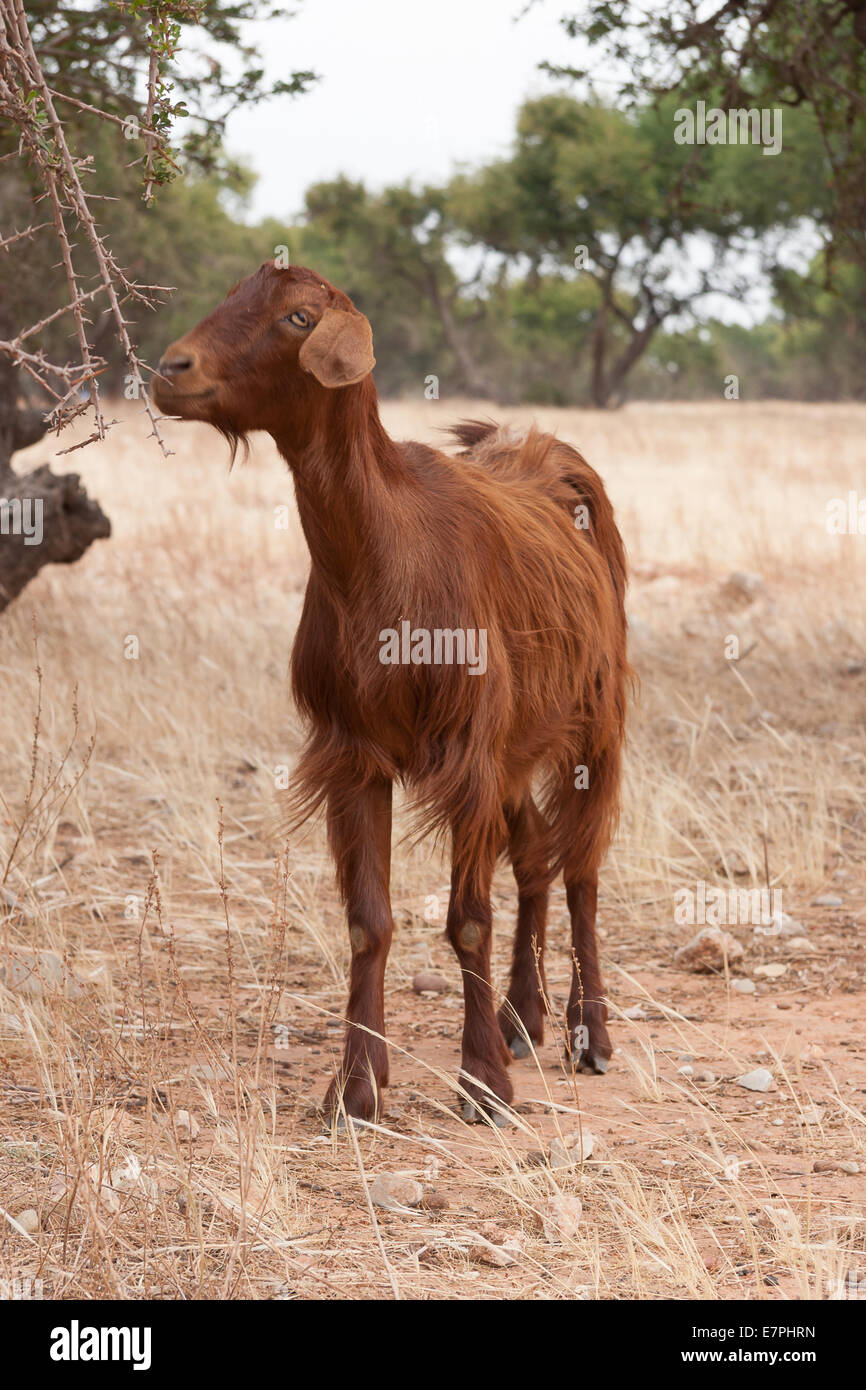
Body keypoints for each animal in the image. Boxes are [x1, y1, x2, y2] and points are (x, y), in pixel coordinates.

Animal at [153, 261, 630, 1124]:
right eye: (232, 295)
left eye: (298, 317)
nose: (171, 370)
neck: (387, 553)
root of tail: (546, 447)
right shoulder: (355, 755)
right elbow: (367, 923)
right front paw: (355, 1087)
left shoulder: (469, 753)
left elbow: (467, 921)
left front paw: (484, 1085)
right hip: (516, 745)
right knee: (536, 851)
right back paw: (522, 1017)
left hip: (595, 721)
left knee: (582, 863)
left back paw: (588, 1034)